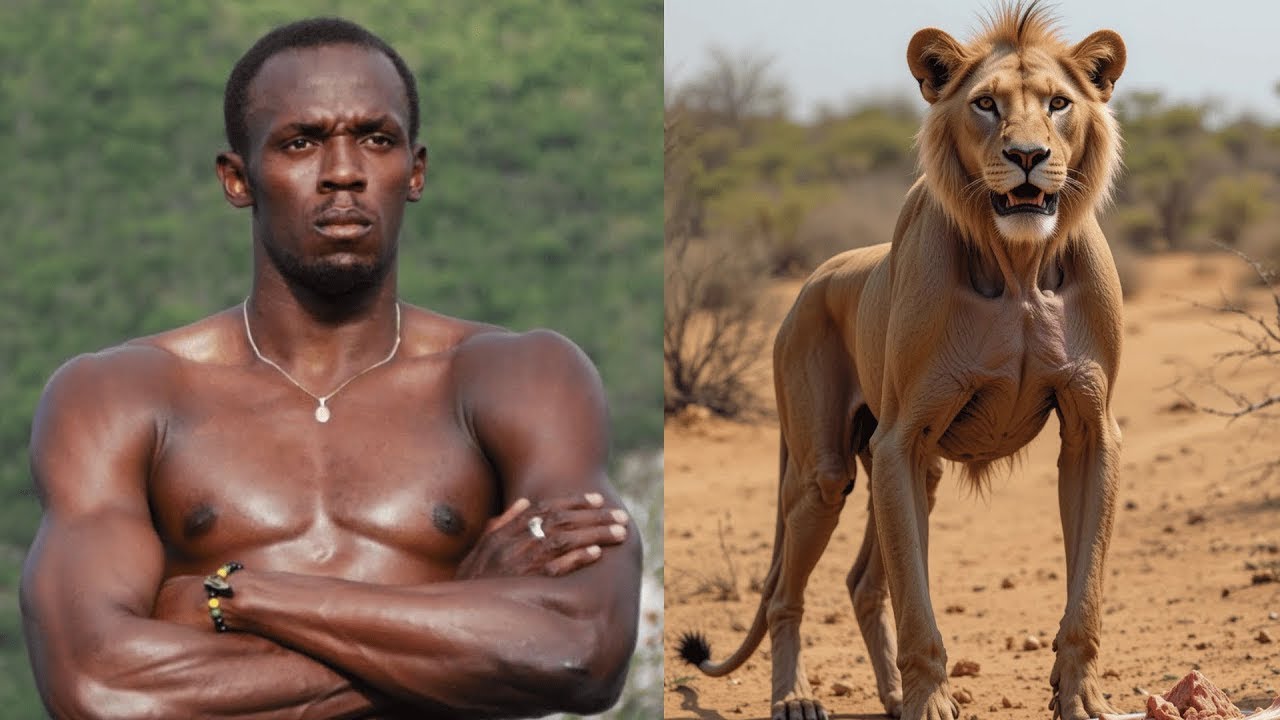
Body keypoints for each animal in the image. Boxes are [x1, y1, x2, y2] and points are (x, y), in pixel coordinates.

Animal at [677, 4, 1127, 720]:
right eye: (985, 105)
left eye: (1058, 104)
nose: (1028, 157)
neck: (1019, 267)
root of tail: (813, 280)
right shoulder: (901, 440)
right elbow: (917, 603)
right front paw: (931, 700)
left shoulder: (1091, 430)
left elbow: (1085, 593)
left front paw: (1080, 696)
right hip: (825, 470)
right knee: (788, 595)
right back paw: (796, 697)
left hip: (915, 469)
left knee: (863, 582)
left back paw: (888, 693)